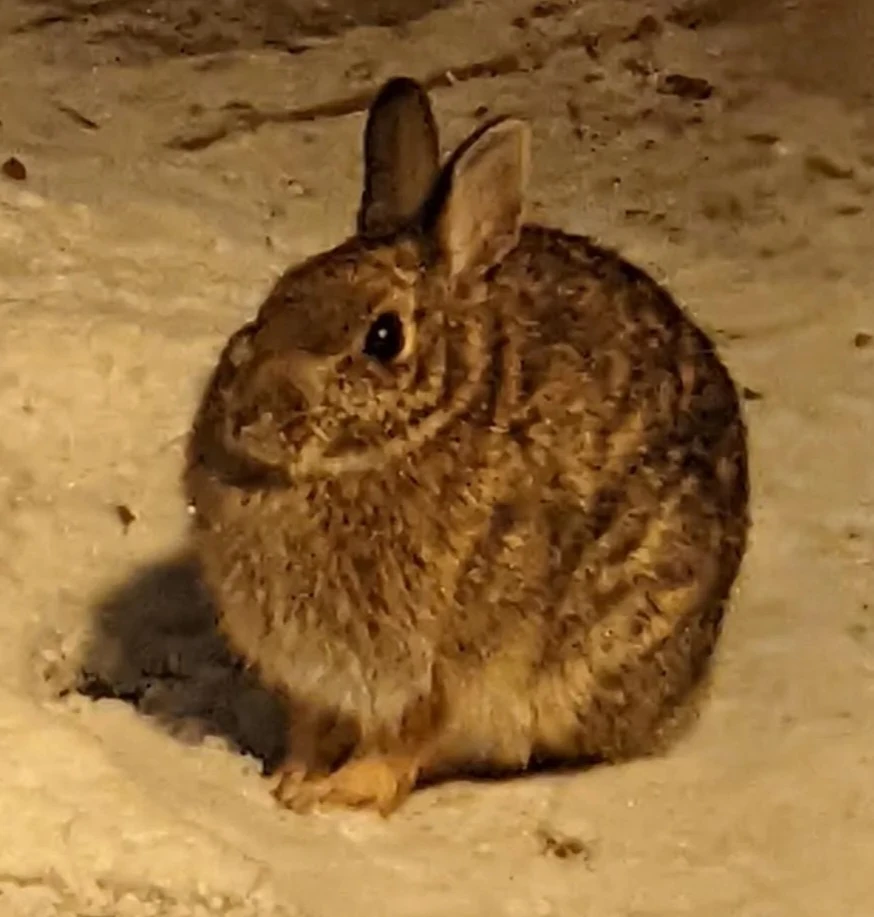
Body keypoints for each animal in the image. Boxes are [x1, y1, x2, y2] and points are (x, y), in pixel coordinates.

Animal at [184, 76, 750, 816]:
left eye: (384, 337)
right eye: (278, 296)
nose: (251, 414)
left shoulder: (439, 670)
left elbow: (402, 742)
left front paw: (341, 796)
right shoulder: (312, 678)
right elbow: (311, 727)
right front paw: (291, 780)